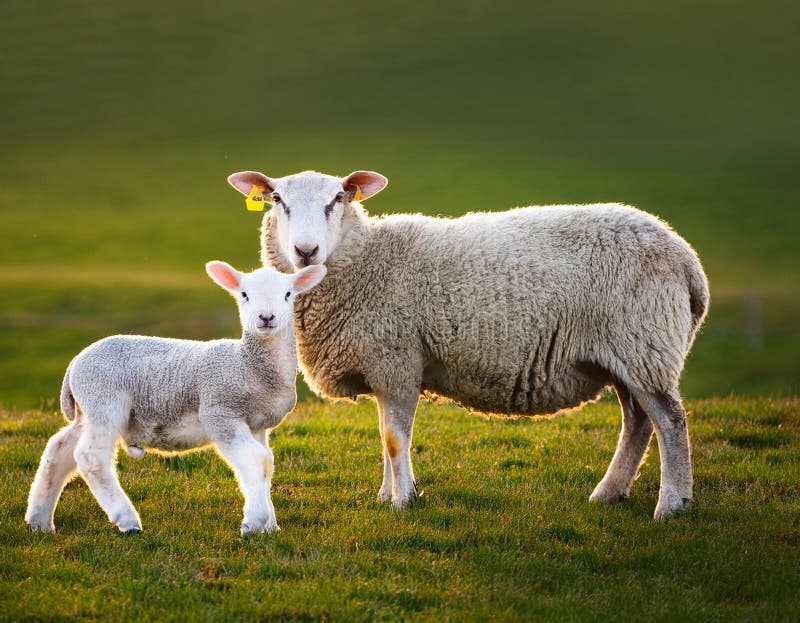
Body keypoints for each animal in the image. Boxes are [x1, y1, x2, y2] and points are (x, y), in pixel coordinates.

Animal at [25, 261, 327, 535]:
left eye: (288, 294)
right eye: (244, 294)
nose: (266, 317)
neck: (248, 364)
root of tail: (75, 363)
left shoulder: (257, 425)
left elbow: (266, 463)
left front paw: (270, 526)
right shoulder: (220, 409)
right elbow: (256, 459)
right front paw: (254, 523)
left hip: (87, 410)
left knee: (59, 450)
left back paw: (39, 521)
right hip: (105, 401)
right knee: (90, 456)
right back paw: (127, 521)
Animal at [227, 169, 710, 520]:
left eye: (338, 200)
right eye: (277, 200)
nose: (305, 250)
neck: (366, 259)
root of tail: (688, 260)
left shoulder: (397, 359)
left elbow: (394, 438)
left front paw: (403, 501)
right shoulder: (385, 365)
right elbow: (384, 435)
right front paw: (386, 495)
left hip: (644, 341)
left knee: (670, 421)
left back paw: (672, 506)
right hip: (625, 353)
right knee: (638, 422)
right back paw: (609, 493)